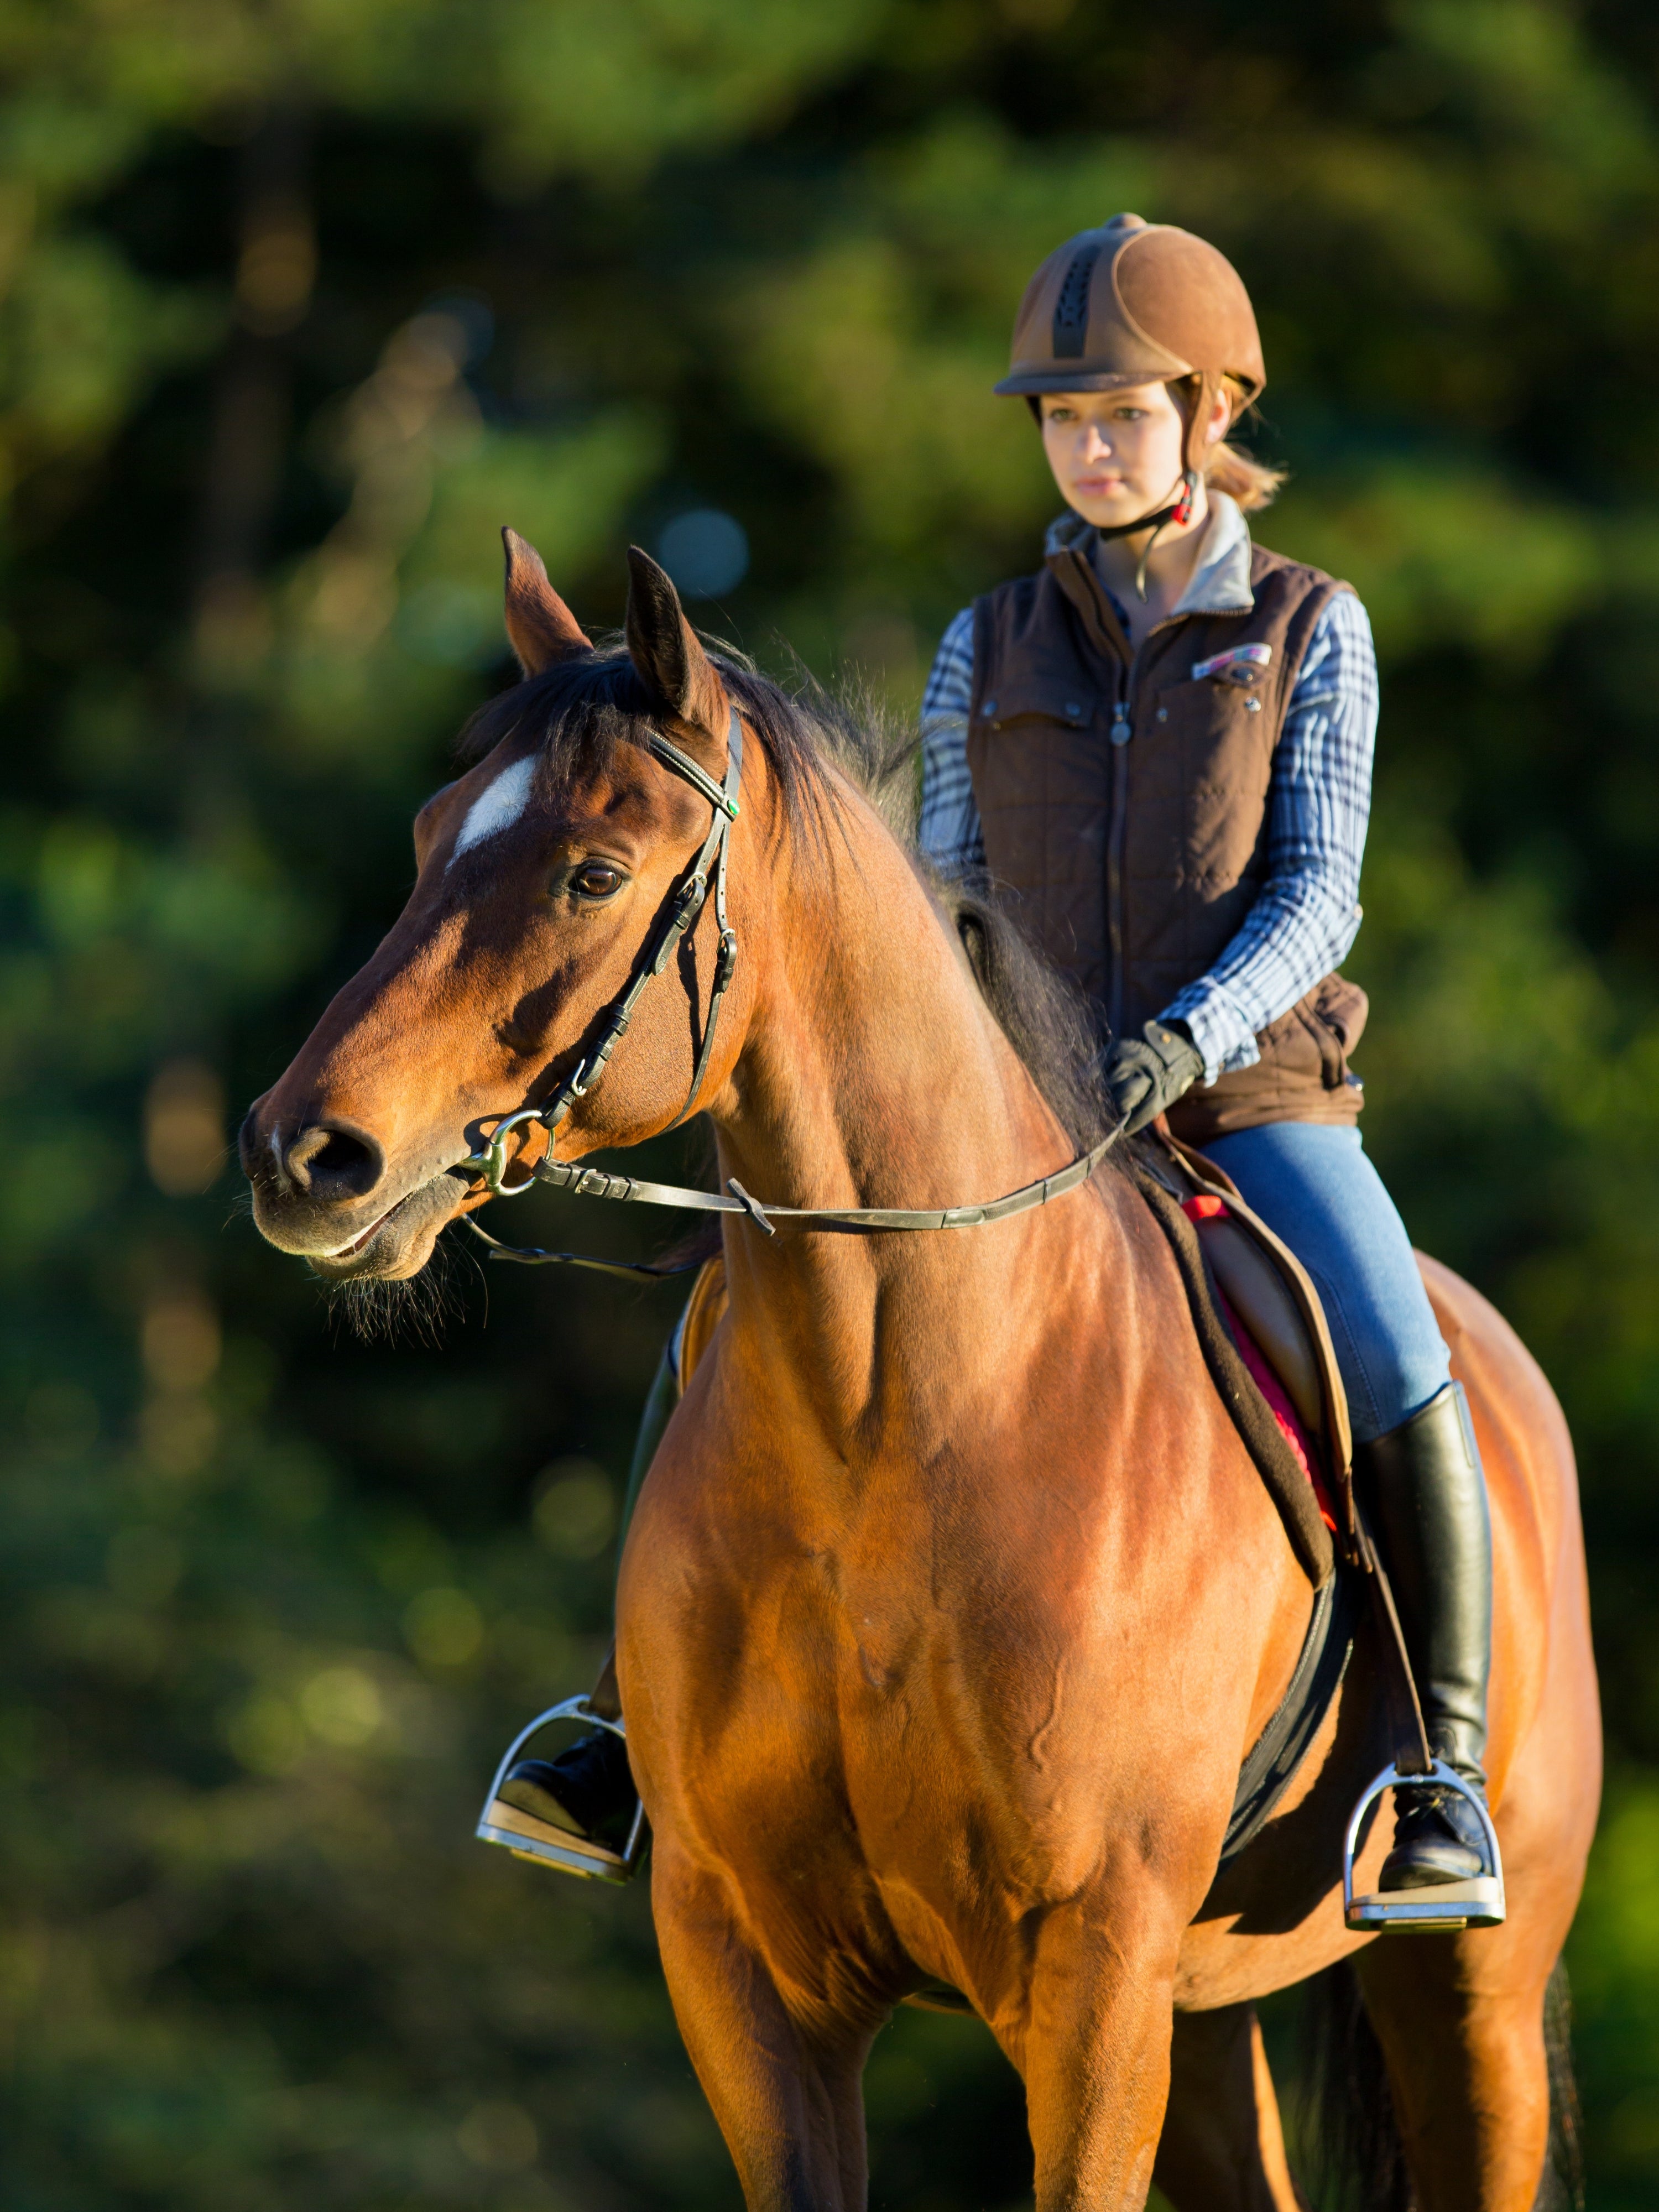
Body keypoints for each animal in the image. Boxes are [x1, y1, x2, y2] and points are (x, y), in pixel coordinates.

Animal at [240, 531, 1601, 2211]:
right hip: (1205, 2010)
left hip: (1461, 1996)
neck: (889, 1421)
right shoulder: (751, 1972)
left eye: (591, 873)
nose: (303, 1157)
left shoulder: (1090, 1981)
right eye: (435, 835)